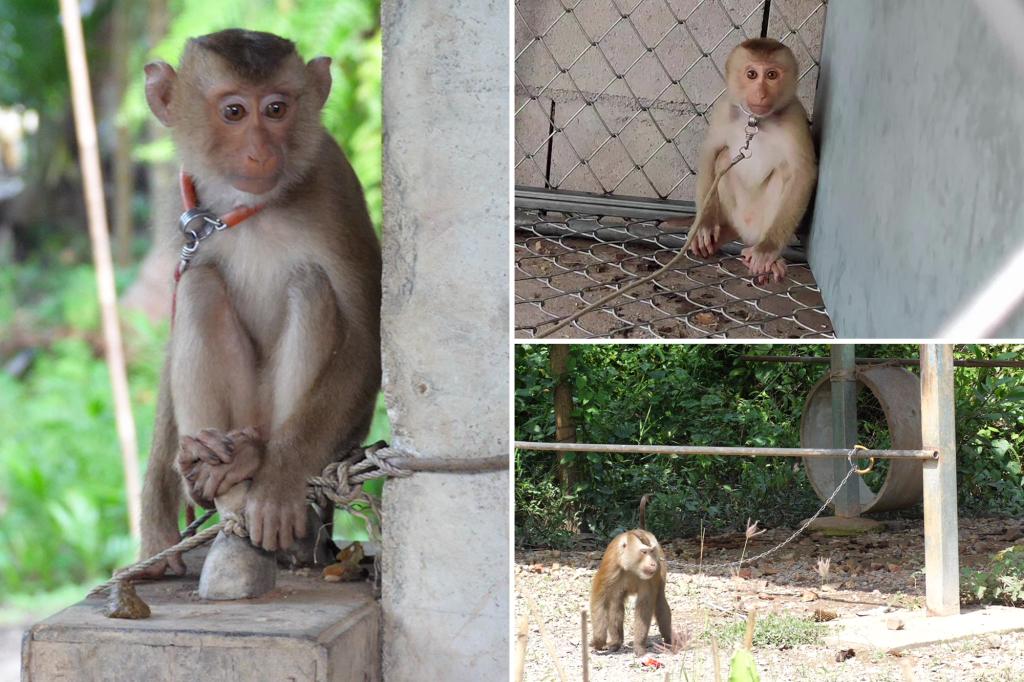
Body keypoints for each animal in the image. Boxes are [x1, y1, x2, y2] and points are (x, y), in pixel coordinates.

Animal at [137, 29, 381, 577]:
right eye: (233, 112)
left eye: (275, 109)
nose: (260, 152)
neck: (246, 209)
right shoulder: (184, 207)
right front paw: (155, 518)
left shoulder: (334, 190)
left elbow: (363, 341)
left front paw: (277, 482)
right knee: (200, 286)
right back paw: (207, 472)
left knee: (311, 287)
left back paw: (270, 487)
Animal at [665, 38, 817, 284]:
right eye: (752, 74)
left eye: (772, 75)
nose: (761, 94)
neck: (756, 121)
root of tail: (746, 230)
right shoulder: (723, 109)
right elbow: (710, 152)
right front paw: (705, 224)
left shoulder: (795, 116)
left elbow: (803, 172)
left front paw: (768, 249)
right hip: (735, 212)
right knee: (723, 158)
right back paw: (724, 232)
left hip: (762, 221)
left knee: (785, 172)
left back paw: (769, 257)